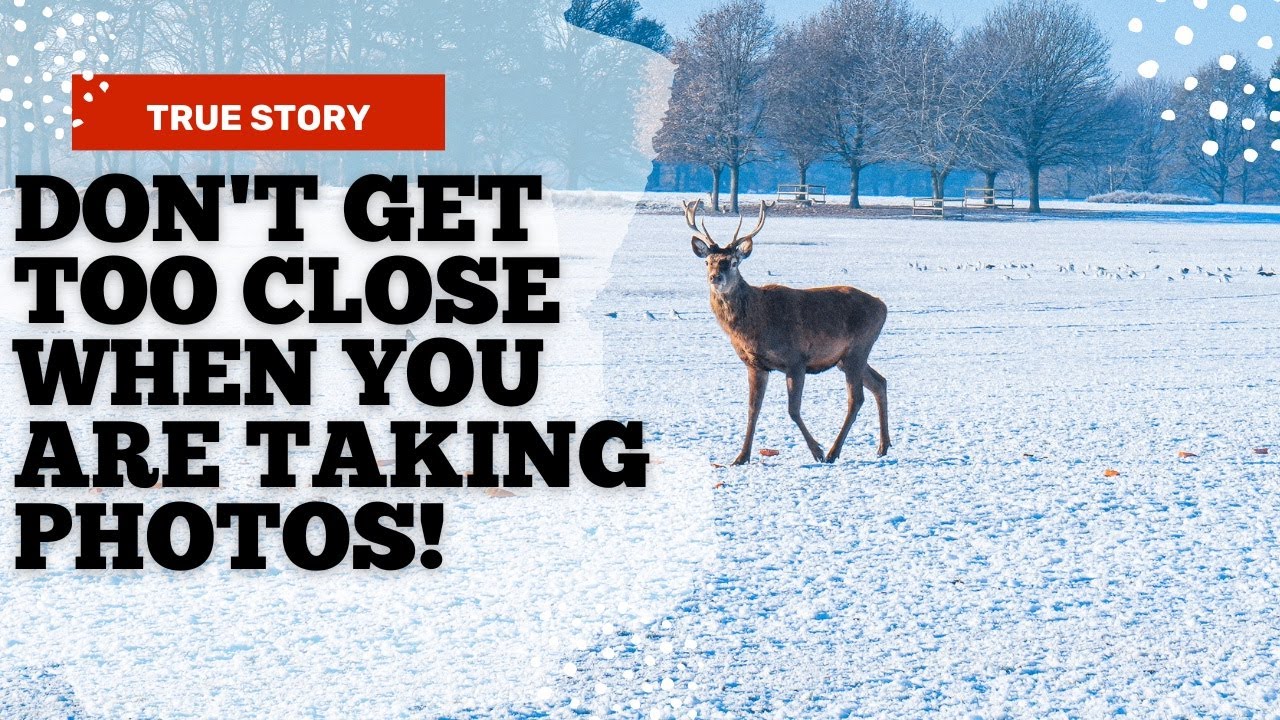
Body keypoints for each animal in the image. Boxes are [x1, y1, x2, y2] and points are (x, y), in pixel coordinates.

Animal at [684, 198, 889, 465]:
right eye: (707, 261)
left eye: (734, 262)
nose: (715, 277)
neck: (755, 326)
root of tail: (883, 306)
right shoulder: (756, 364)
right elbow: (752, 410)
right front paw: (741, 457)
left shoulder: (796, 360)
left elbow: (792, 409)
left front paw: (816, 451)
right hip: (845, 358)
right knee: (880, 382)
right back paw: (883, 446)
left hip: (858, 349)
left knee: (856, 399)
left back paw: (833, 452)